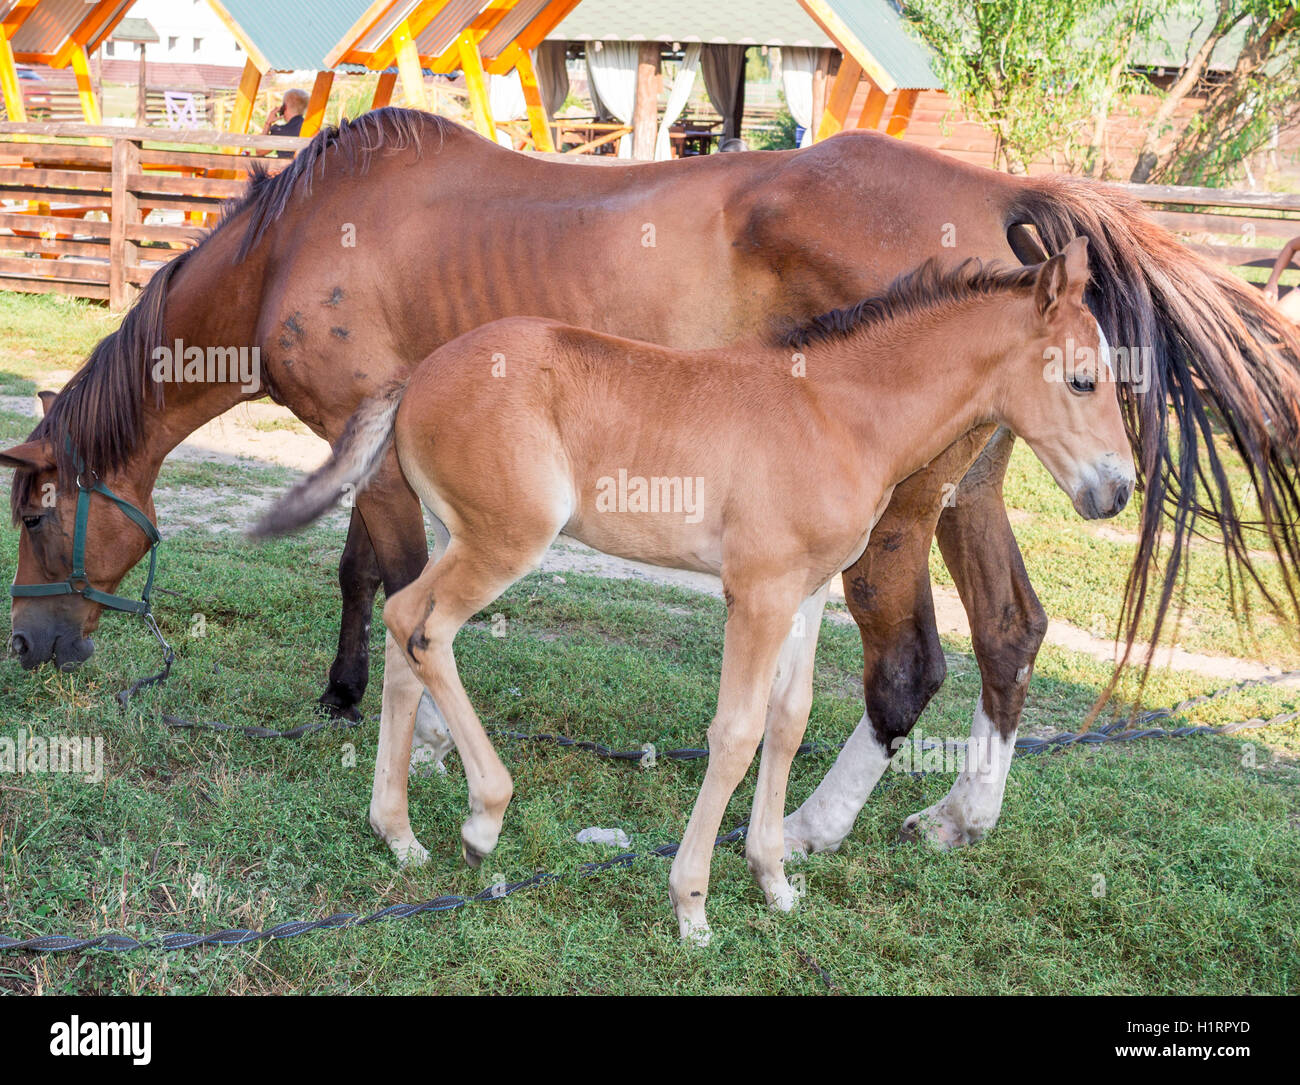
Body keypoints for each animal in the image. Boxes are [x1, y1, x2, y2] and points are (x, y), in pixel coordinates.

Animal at [3, 110, 1297, 860]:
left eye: (38, 515)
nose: (32, 647)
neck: (298, 237)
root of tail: (1002, 194)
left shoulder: (359, 440)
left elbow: (377, 574)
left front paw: (388, 732)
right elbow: (389, 580)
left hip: (898, 519)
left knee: (907, 664)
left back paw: (808, 827)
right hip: (970, 494)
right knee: (1010, 633)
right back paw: (954, 814)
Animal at [254, 238, 1134, 943]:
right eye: (1083, 381)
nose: (1118, 489)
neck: (836, 411)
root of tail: (418, 373)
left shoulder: (806, 591)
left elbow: (788, 721)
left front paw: (774, 880)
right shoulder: (758, 591)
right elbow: (736, 733)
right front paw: (692, 906)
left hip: (456, 534)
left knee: (409, 637)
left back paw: (399, 833)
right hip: (507, 539)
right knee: (419, 623)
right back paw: (483, 817)